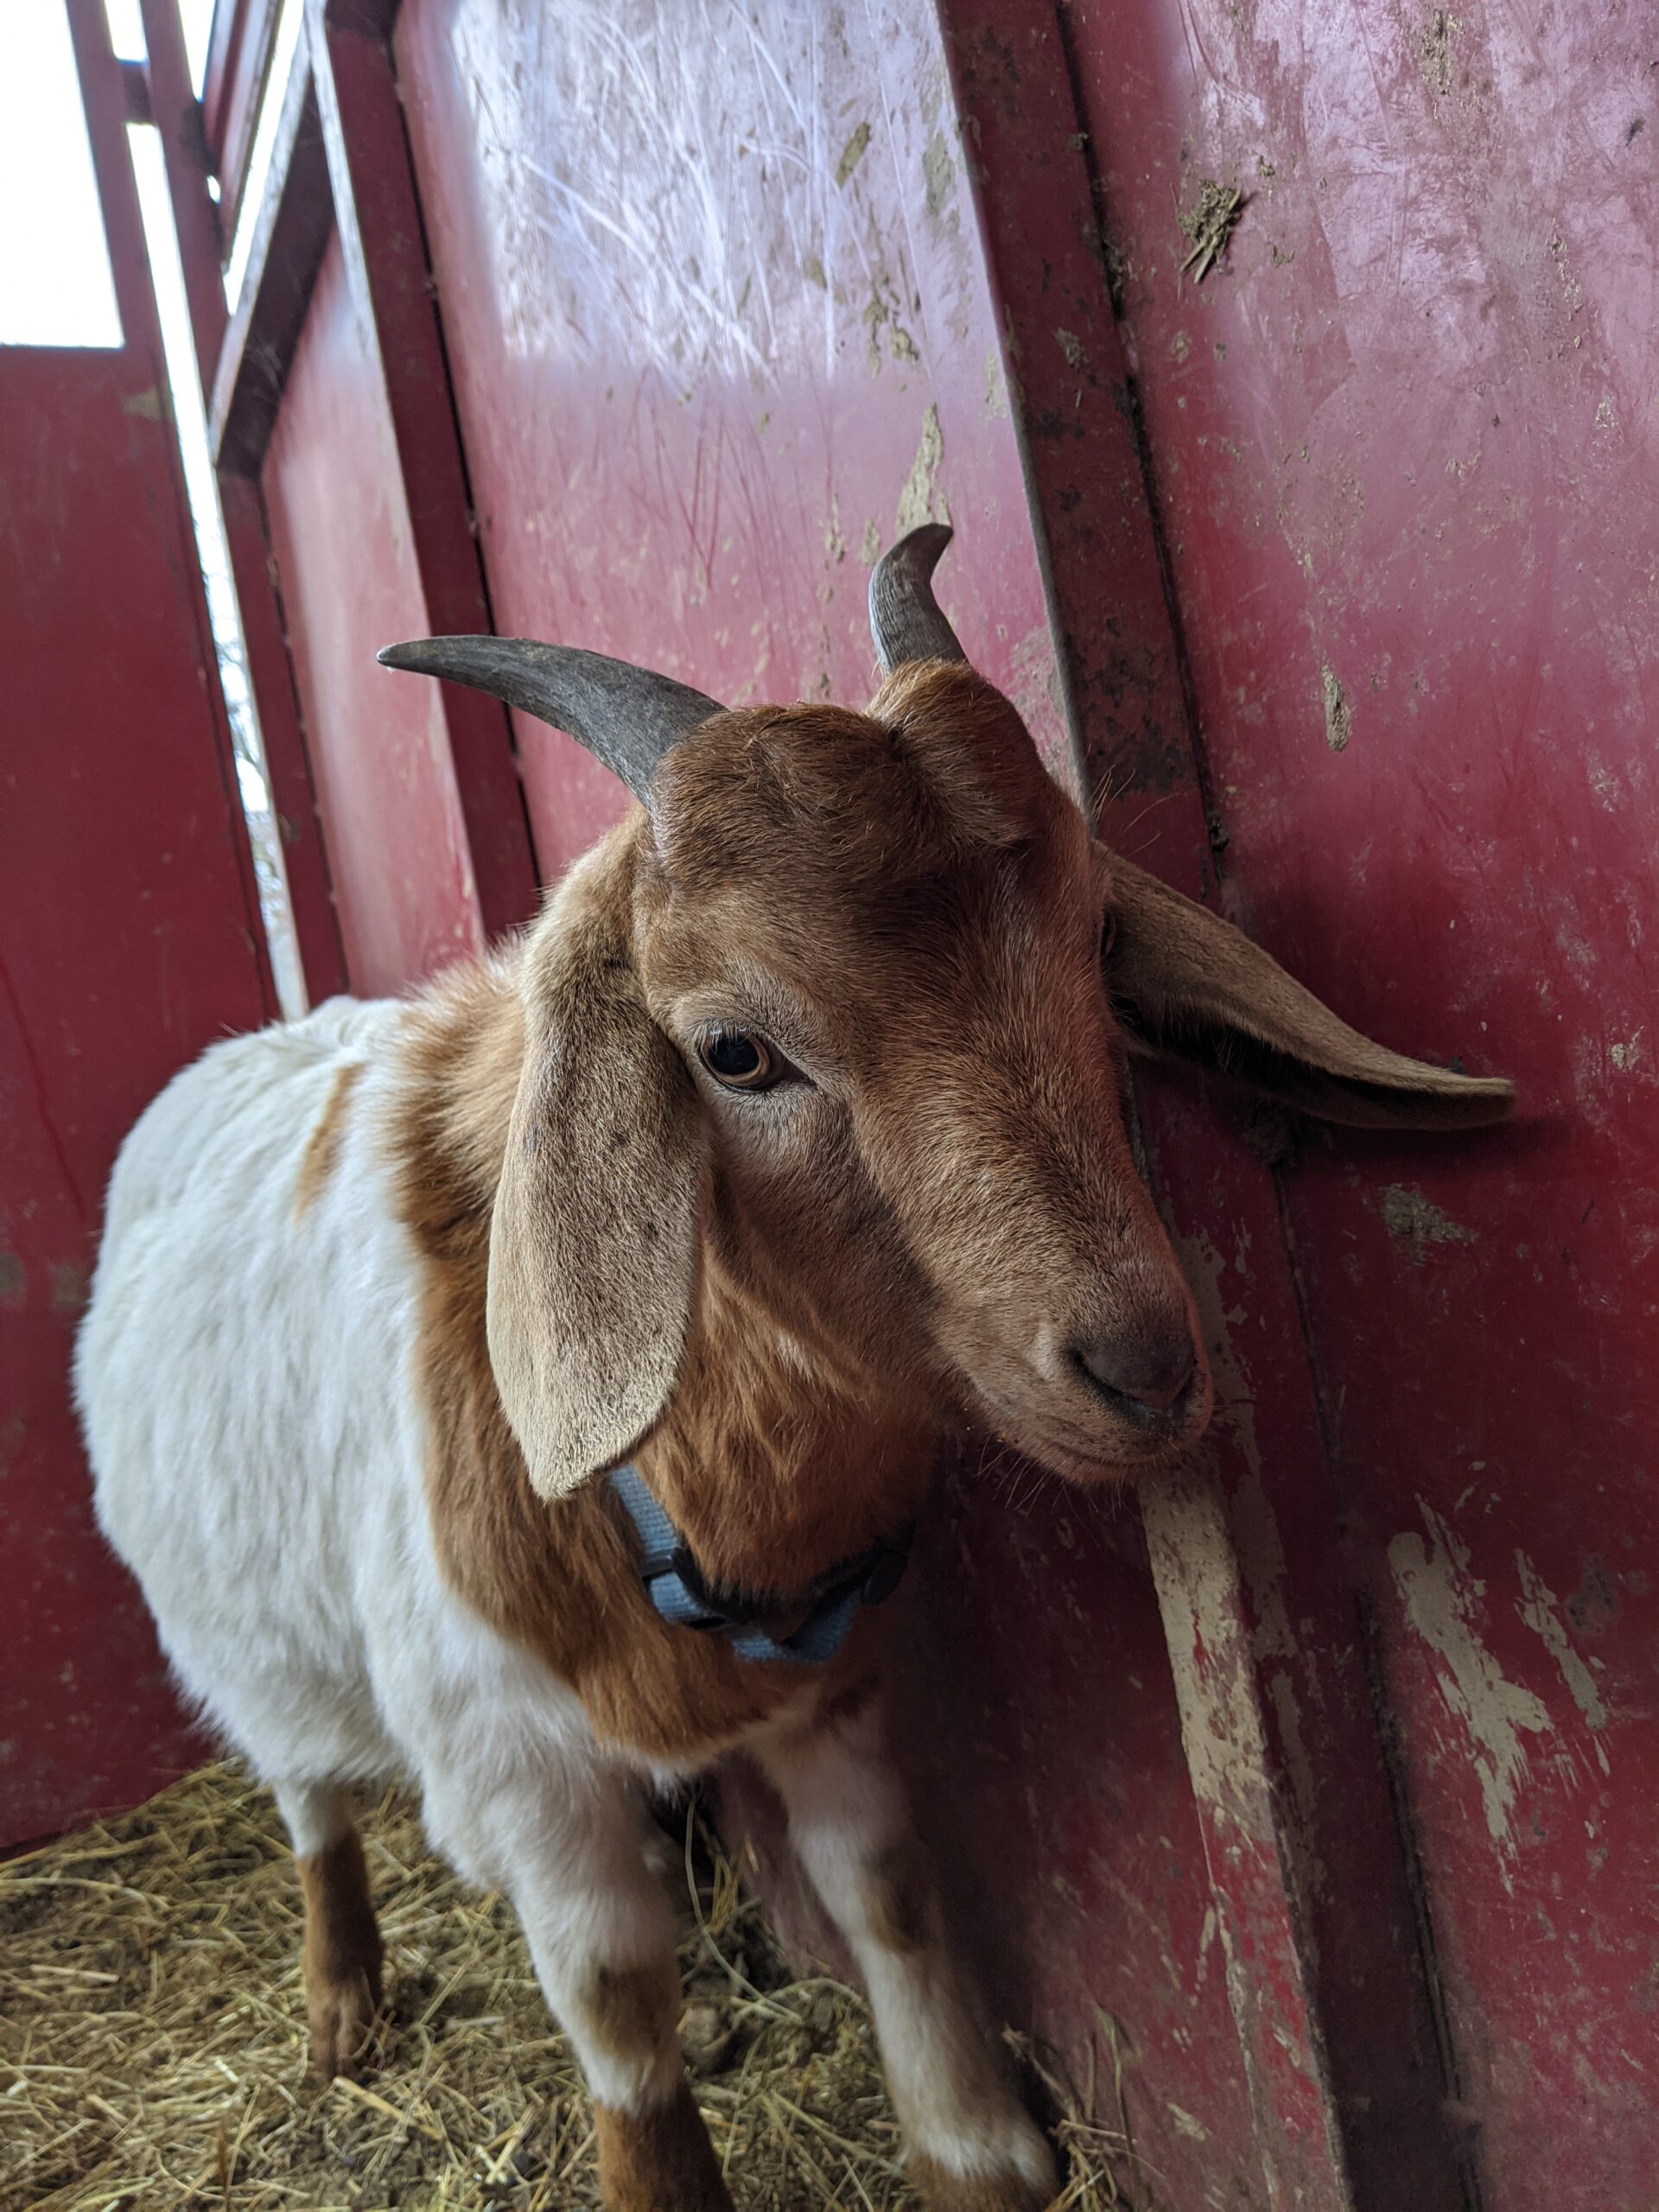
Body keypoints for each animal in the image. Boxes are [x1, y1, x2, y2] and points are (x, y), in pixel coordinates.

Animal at [75, 526, 1511, 2212]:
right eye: (734, 1052)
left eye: (1097, 951)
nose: (1147, 1362)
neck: (685, 1492)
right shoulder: (517, 1773)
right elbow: (619, 2011)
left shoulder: (841, 1683)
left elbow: (884, 1887)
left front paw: (974, 2145)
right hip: (240, 1639)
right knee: (307, 1798)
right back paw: (343, 1997)